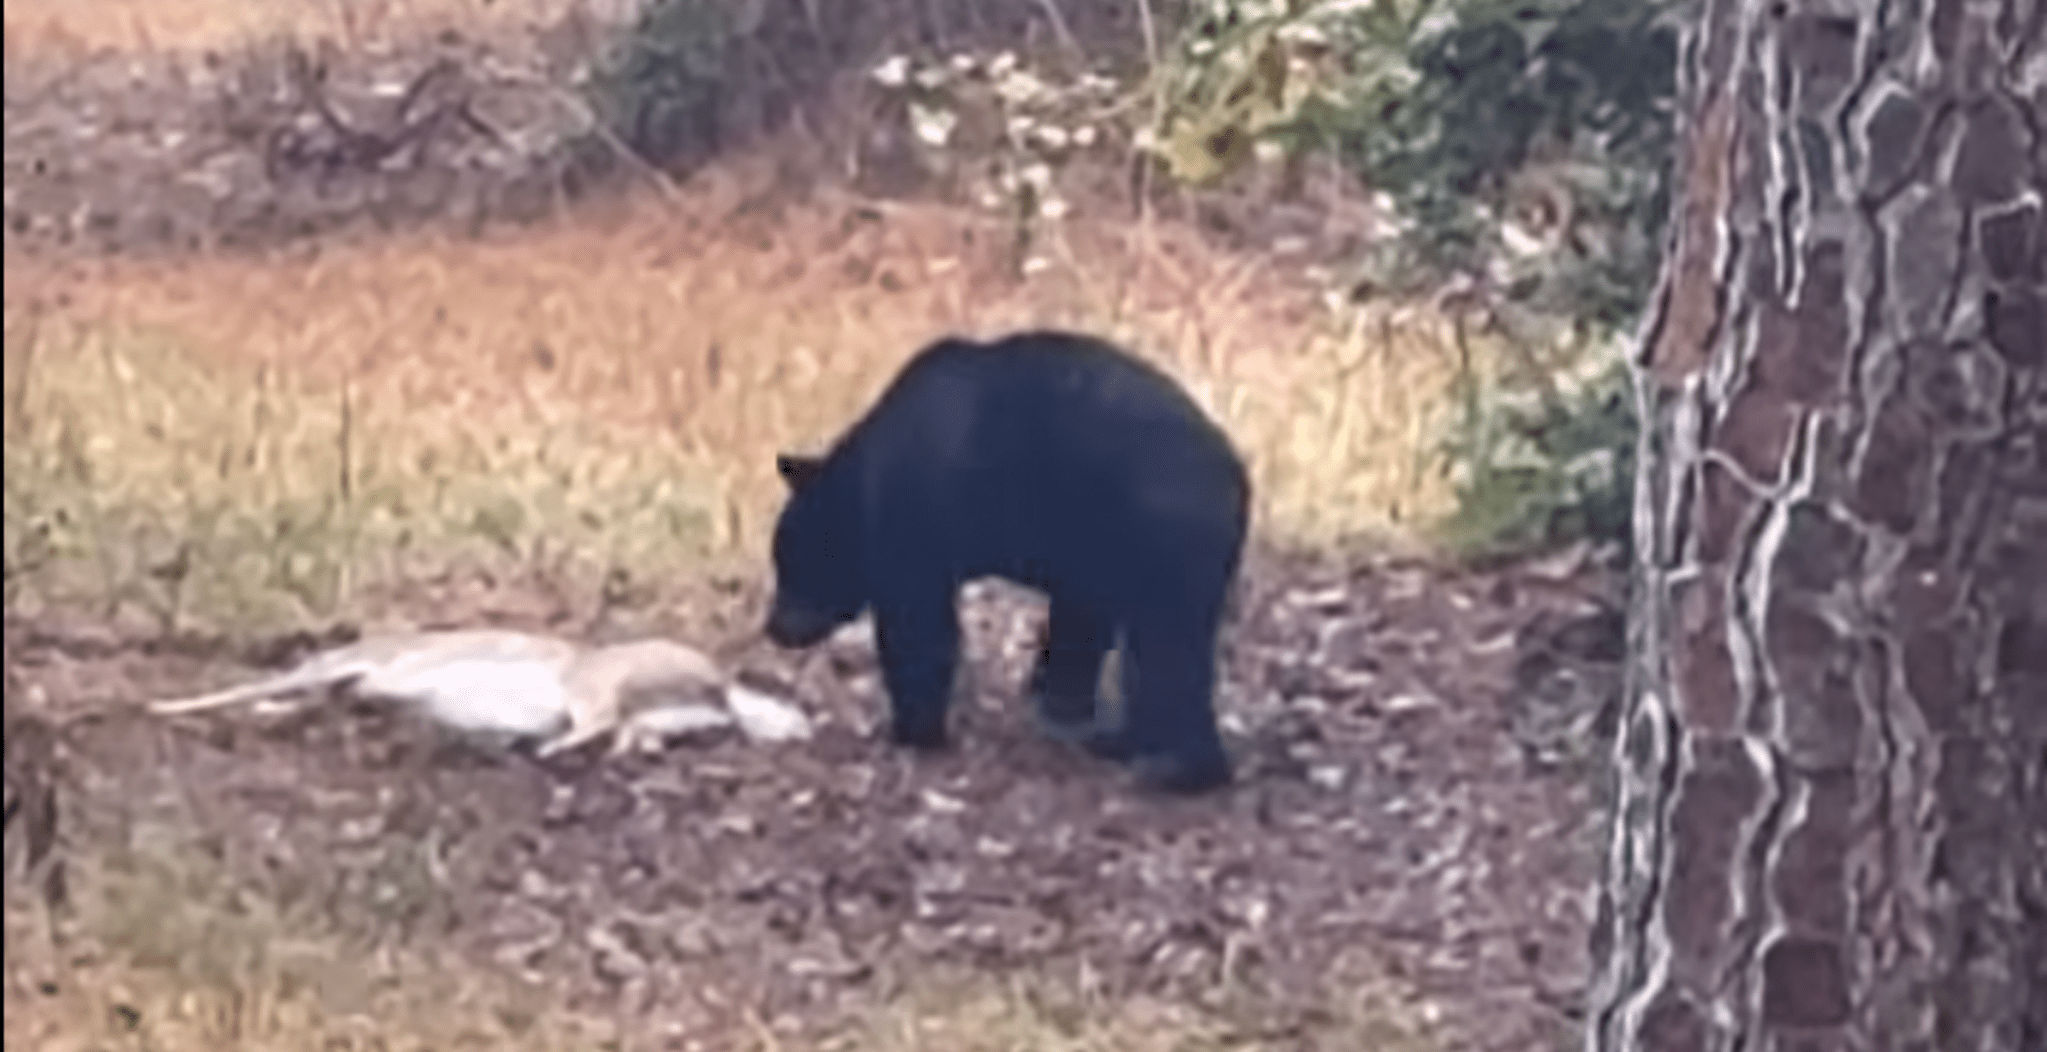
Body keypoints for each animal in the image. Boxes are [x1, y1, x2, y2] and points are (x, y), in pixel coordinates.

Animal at [764, 329, 1250, 794]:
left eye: (790, 561)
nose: (774, 628)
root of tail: (1238, 478)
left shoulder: (919, 515)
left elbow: (918, 622)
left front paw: (912, 730)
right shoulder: (1090, 555)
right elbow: (1080, 621)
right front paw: (1055, 702)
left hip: (1166, 539)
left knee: (1169, 646)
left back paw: (1180, 770)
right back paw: (1121, 741)